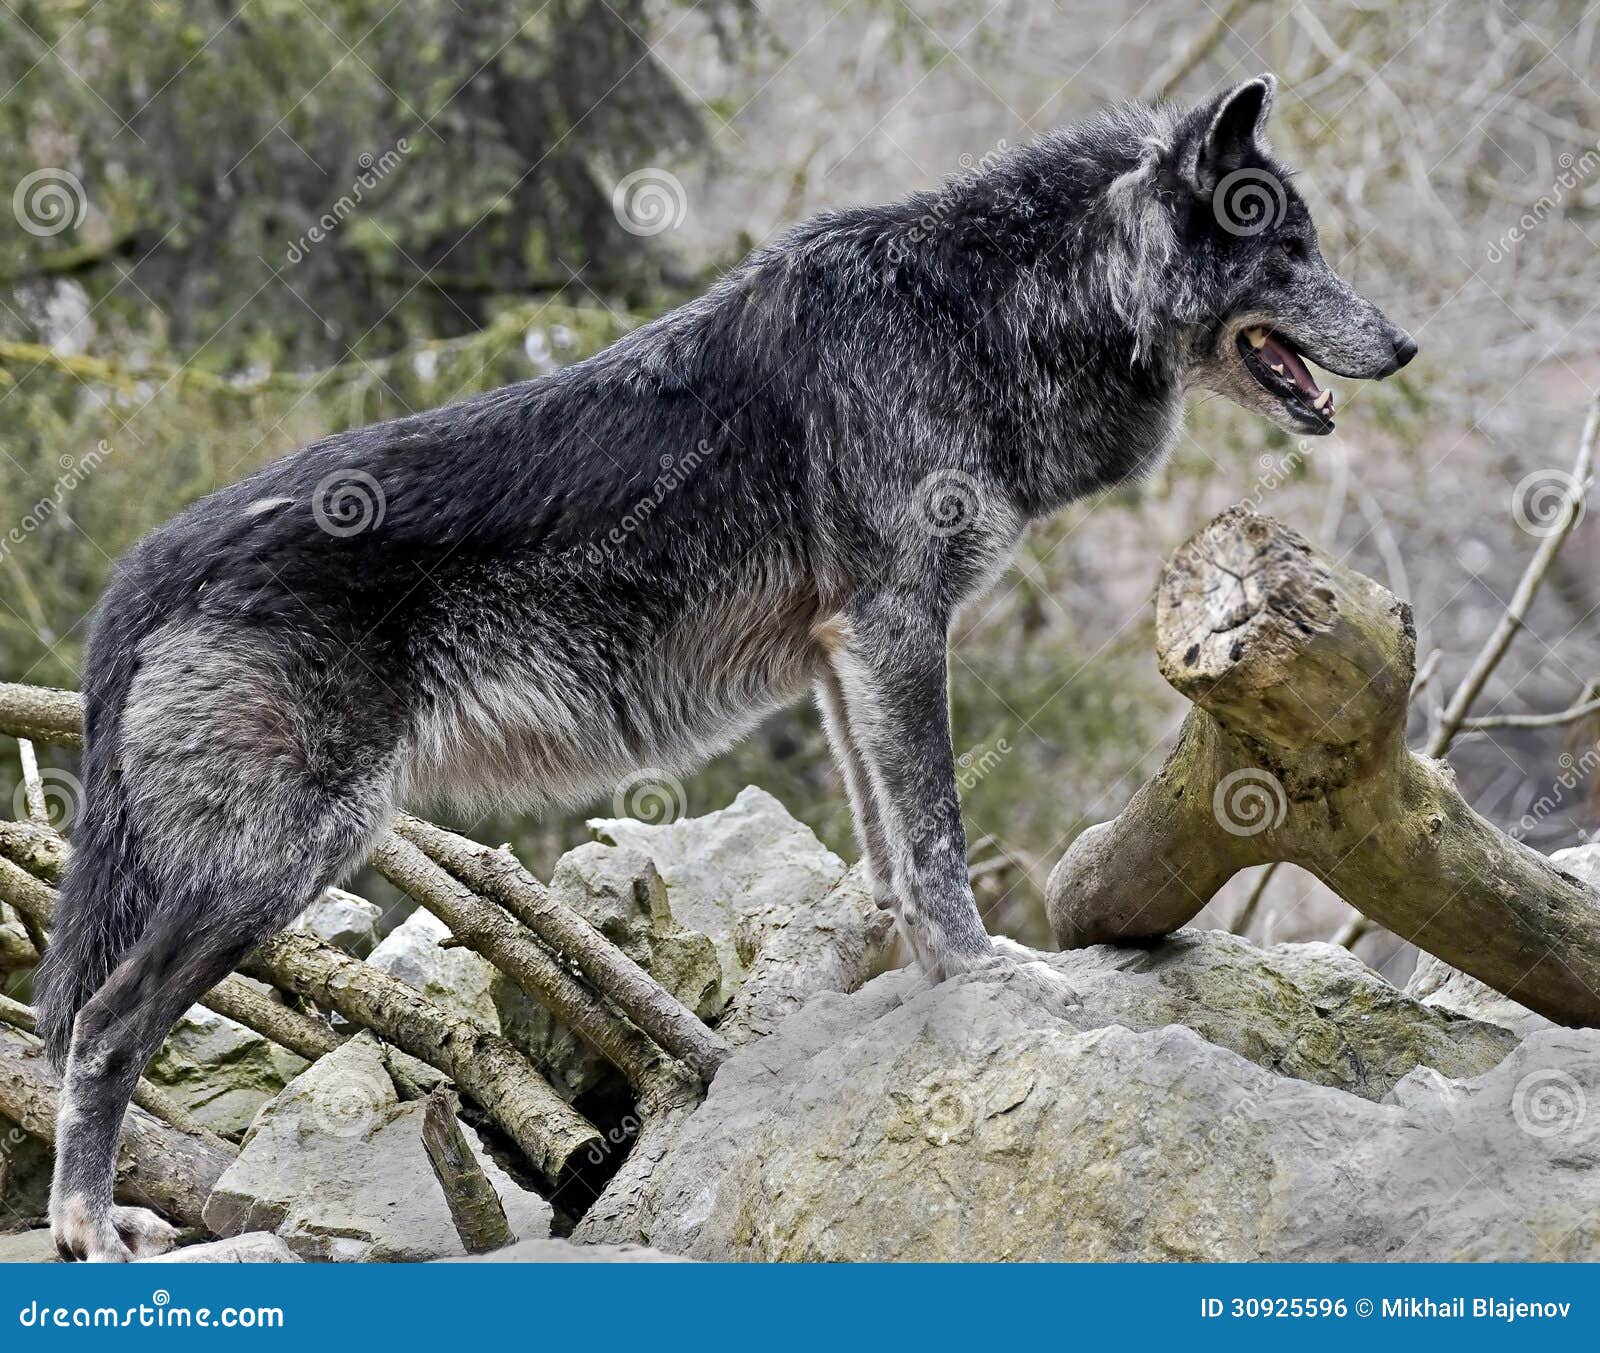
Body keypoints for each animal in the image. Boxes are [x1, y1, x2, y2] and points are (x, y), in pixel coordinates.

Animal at [36, 72, 1414, 1259]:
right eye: (1287, 248)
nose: (1402, 346)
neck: (979, 317)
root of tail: (144, 567)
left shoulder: (845, 654)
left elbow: (888, 852)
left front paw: (916, 982)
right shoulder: (899, 626)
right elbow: (939, 834)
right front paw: (990, 974)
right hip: (286, 857)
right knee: (99, 1030)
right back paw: (92, 1230)